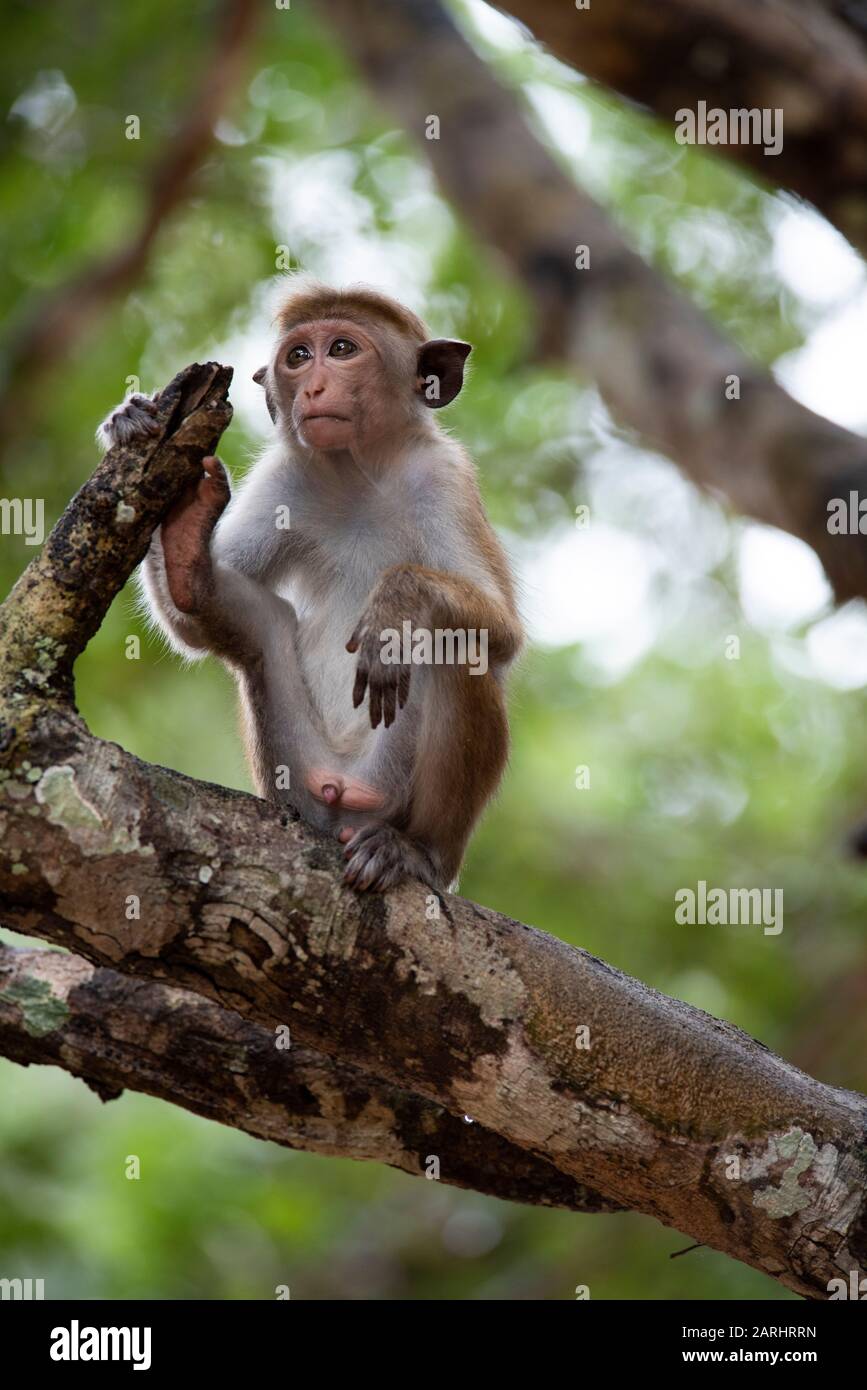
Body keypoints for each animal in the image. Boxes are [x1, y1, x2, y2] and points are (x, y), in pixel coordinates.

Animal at [98, 281, 524, 893]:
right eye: (299, 357)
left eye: (342, 349)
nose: (314, 386)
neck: (359, 472)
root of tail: (343, 791)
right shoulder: (285, 477)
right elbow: (189, 634)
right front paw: (130, 416)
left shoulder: (444, 477)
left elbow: (502, 635)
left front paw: (394, 606)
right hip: (297, 774)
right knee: (266, 625)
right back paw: (187, 555)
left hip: (389, 783)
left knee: (457, 649)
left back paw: (416, 851)